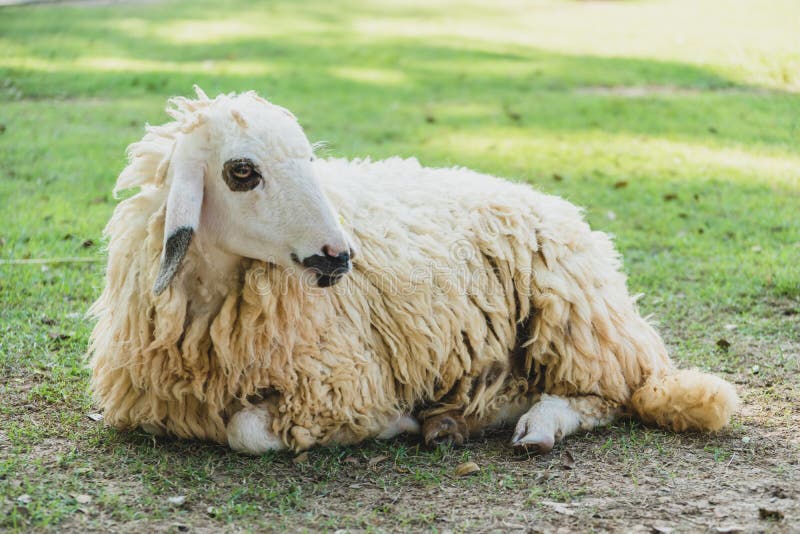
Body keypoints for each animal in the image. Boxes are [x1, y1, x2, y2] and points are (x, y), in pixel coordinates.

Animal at [89, 87, 740, 454]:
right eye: (241, 171)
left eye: (309, 159)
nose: (340, 255)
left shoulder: (346, 380)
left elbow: (247, 434)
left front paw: (389, 425)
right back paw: (456, 421)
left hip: (576, 324)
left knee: (605, 396)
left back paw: (532, 427)